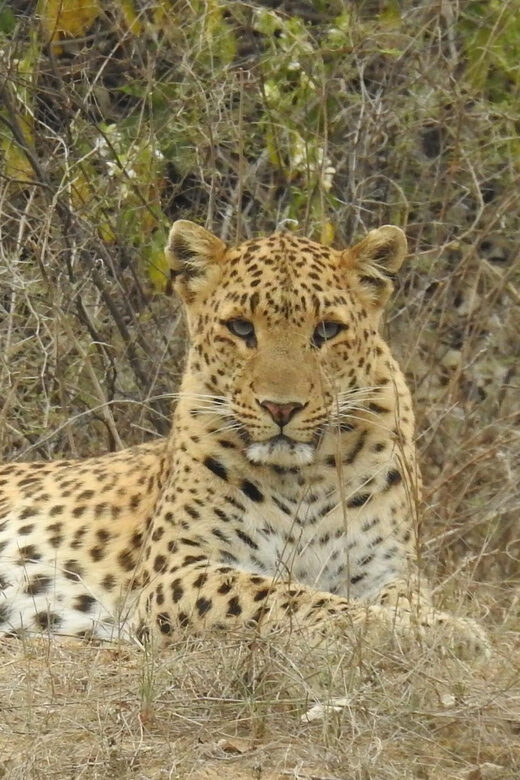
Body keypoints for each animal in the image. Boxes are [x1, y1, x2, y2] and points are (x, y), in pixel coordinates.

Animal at [0, 220, 489, 656]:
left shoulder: (387, 569)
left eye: (327, 330)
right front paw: (428, 633)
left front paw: (440, 626)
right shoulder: (175, 573)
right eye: (240, 328)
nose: (281, 408)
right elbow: (289, 596)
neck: (305, 477)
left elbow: (403, 601)